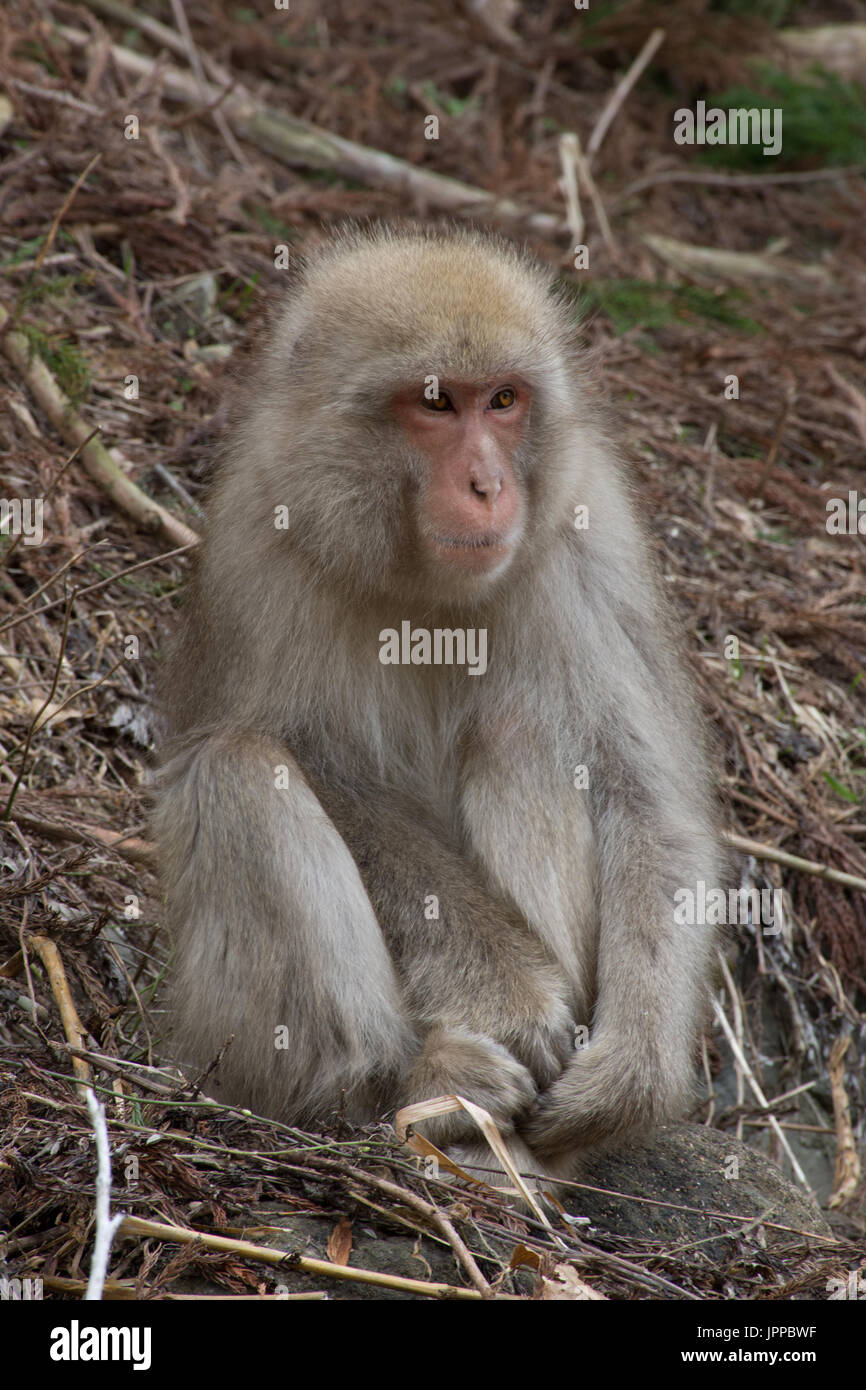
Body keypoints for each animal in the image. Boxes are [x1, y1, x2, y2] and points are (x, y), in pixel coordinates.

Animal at [154, 224, 720, 1182]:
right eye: (435, 404)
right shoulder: (256, 546)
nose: (489, 485)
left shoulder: (589, 540)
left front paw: (632, 1071)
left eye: (503, 400)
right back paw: (408, 1084)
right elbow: (312, 766)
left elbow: (646, 803)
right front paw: (513, 1000)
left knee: (526, 732)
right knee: (236, 771)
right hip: (221, 1050)